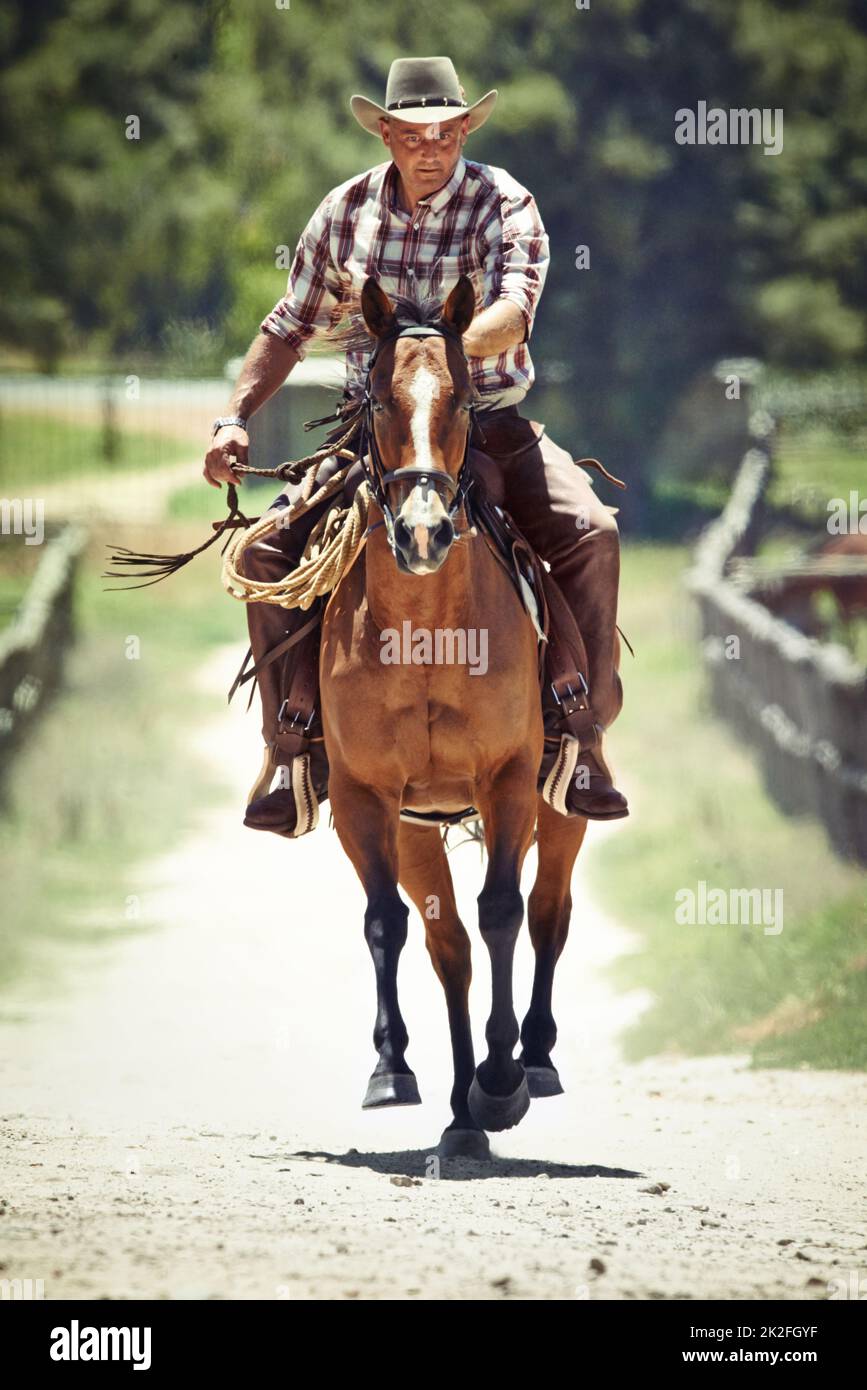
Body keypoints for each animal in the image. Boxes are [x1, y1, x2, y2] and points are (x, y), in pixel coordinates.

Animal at [320, 276, 589, 1159]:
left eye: (466, 400)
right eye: (375, 397)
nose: (424, 532)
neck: (428, 633)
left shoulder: (507, 780)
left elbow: (503, 911)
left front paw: (502, 1083)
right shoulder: (367, 798)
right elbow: (388, 925)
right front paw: (394, 1069)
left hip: (562, 804)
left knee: (546, 914)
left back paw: (530, 1062)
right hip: (415, 827)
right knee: (448, 950)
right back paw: (460, 1117)